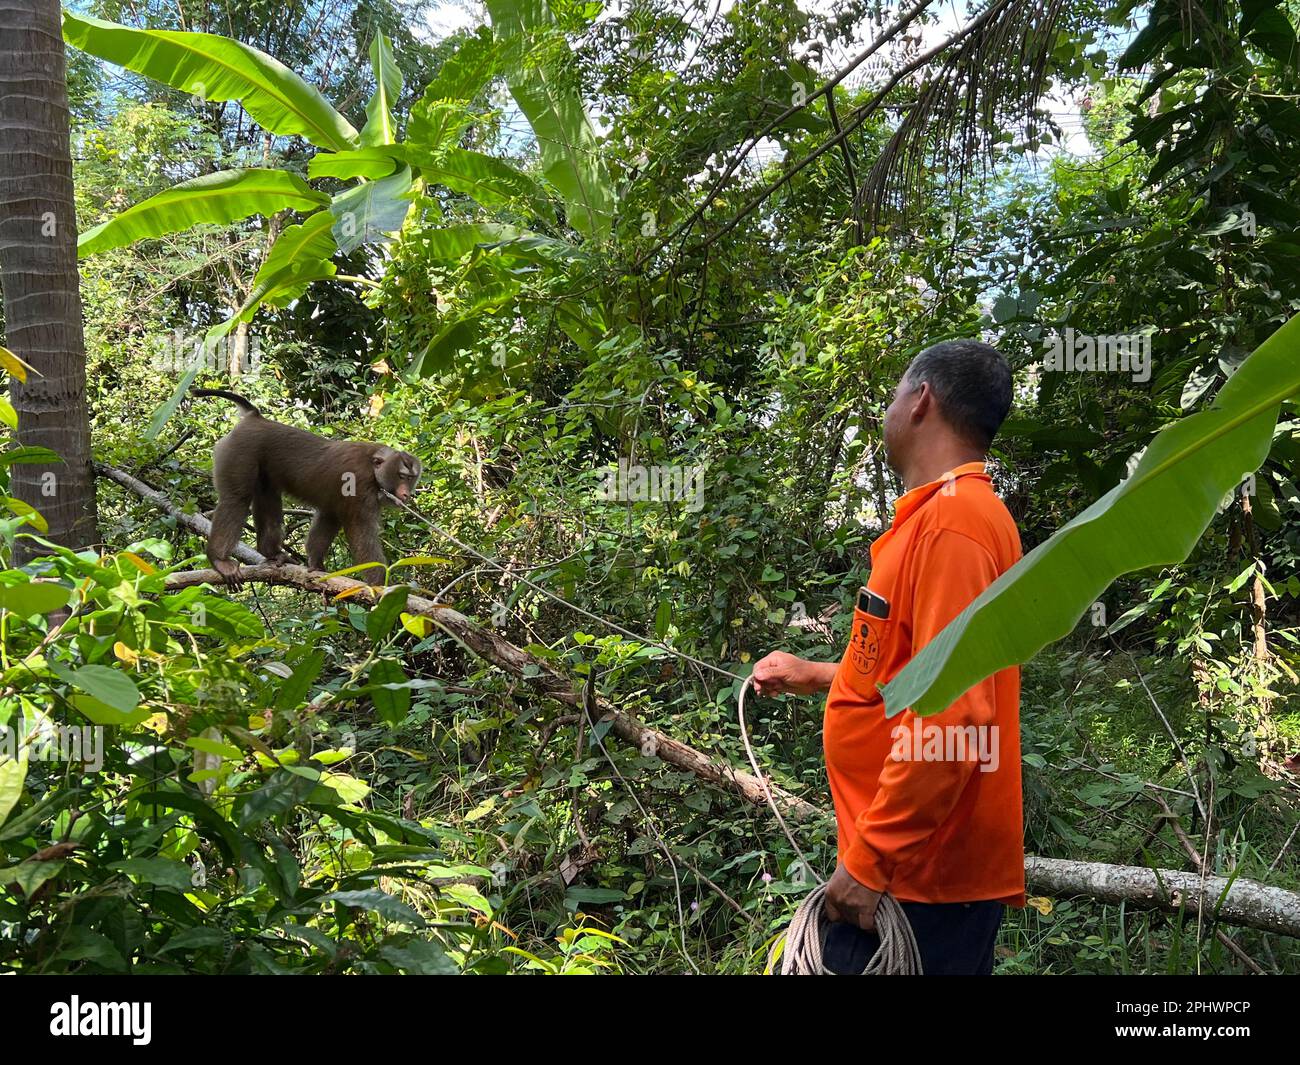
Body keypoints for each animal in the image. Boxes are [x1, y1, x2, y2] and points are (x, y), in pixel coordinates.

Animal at [192, 389, 422, 587]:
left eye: (411, 478)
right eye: (401, 476)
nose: (406, 493)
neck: (372, 467)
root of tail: (254, 418)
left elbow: (329, 517)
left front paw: (315, 563)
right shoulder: (359, 486)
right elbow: (361, 531)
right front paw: (380, 585)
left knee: (268, 495)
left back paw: (271, 552)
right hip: (241, 450)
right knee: (236, 499)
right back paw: (219, 560)